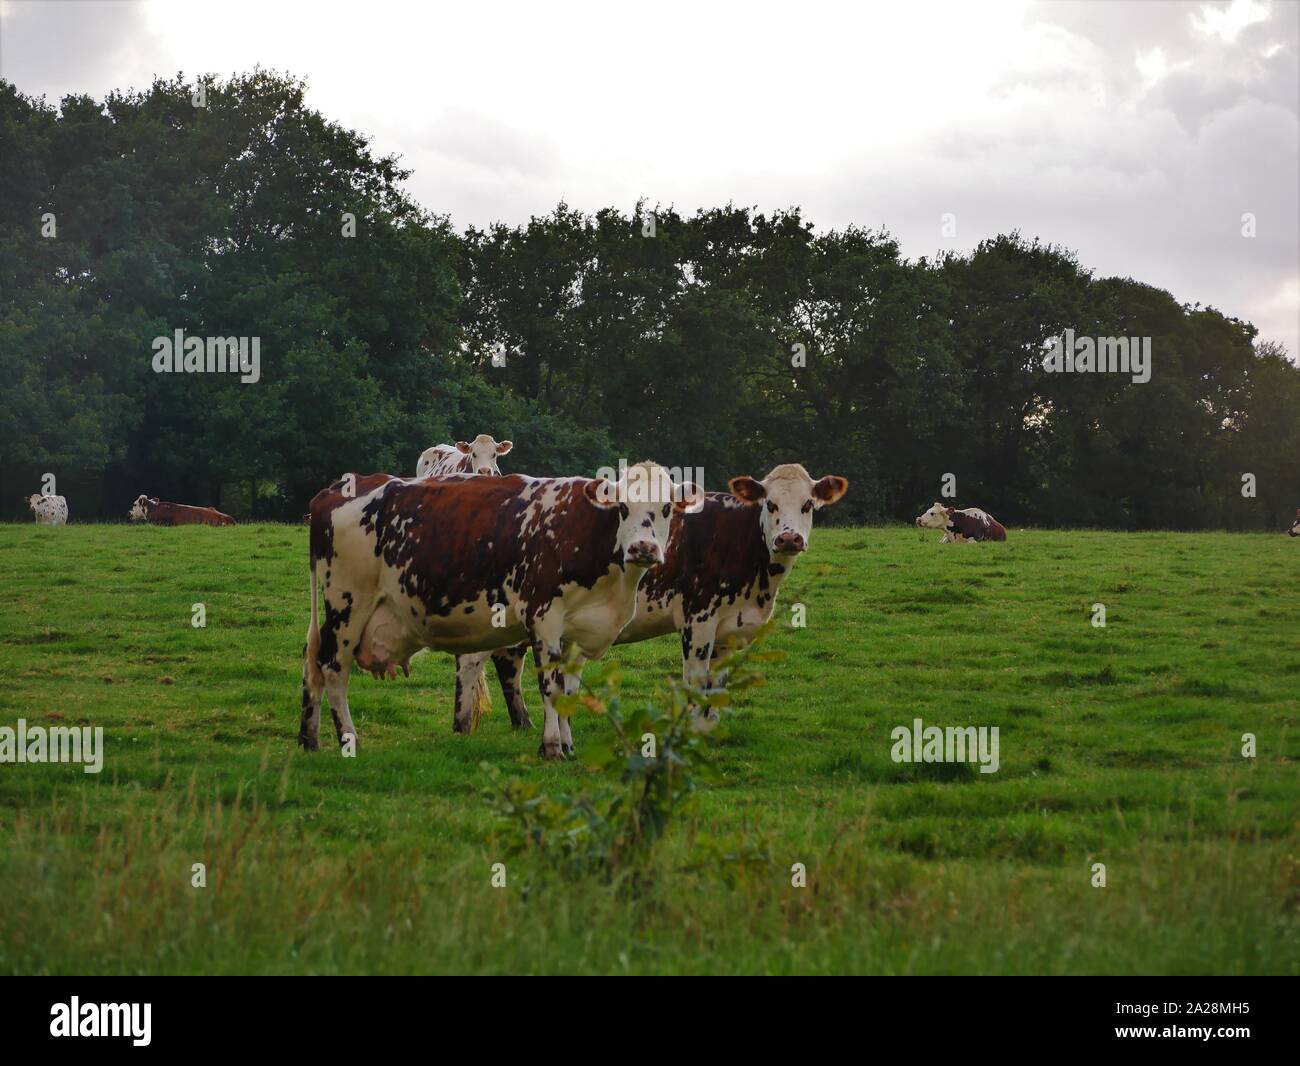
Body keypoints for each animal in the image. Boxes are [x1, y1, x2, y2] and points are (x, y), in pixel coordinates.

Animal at [300, 462, 701, 759]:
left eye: (666, 509)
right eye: (622, 507)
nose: (643, 548)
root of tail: (340, 486)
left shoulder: (578, 632)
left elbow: (569, 691)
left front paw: (569, 744)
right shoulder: (544, 618)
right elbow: (550, 687)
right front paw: (552, 747)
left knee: (312, 663)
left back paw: (309, 738)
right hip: (348, 604)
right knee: (333, 669)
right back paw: (348, 739)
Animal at [472, 463, 849, 730]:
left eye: (808, 505)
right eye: (770, 504)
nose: (788, 538)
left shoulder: (730, 630)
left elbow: (718, 684)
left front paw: (709, 728)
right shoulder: (698, 619)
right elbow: (696, 680)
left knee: (507, 657)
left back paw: (517, 721)